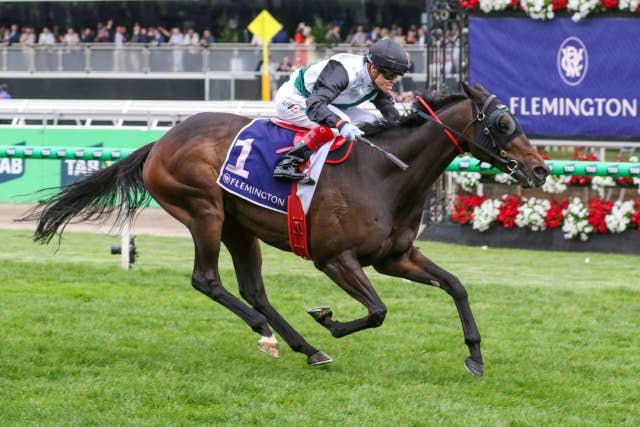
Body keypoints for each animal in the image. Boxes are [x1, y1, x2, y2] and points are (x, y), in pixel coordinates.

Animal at [22, 82, 549, 377]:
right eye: (504, 122)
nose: (541, 169)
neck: (386, 174)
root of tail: (161, 141)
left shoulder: (395, 257)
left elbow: (456, 286)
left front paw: (475, 356)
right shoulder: (335, 259)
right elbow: (377, 311)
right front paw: (328, 319)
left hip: (240, 226)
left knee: (253, 290)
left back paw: (304, 348)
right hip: (204, 212)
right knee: (207, 280)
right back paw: (273, 333)